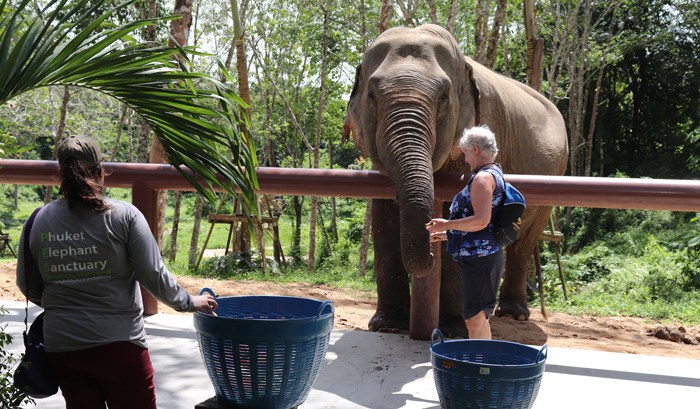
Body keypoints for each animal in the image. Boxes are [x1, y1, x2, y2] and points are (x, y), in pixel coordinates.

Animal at [342, 24, 568, 338]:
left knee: (523, 243)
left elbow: (459, 218)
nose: (429, 252)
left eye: (443, 98)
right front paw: (387, 326)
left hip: (557, 170)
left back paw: (513, 314)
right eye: (372, 96)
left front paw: (453, 329)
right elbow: (383, 217)